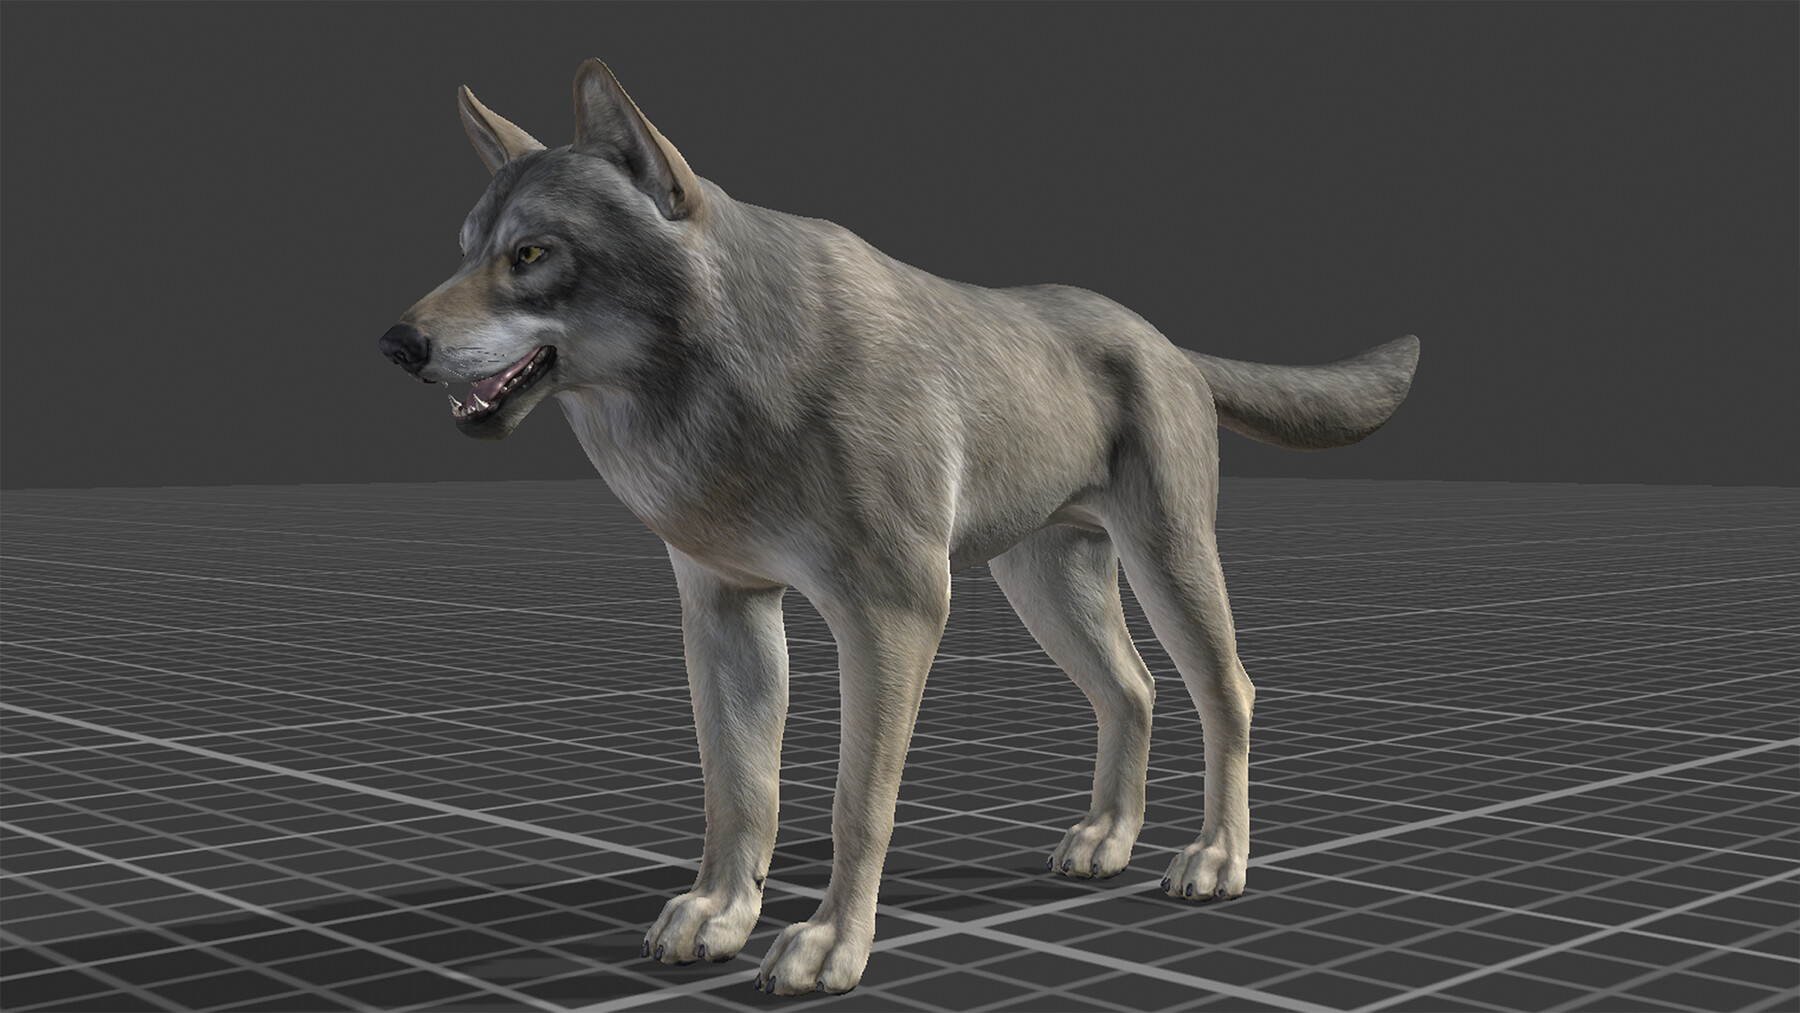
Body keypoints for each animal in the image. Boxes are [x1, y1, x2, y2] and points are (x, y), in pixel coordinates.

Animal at [378, 58, 1419, 996]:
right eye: (465, 247)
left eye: (530, 254)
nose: (396, 342)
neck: (723, 373)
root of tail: (1167, 342)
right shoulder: (727, 611)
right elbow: (739, 791)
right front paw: (720, 915)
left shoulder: (895, 614)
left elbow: (856, 804)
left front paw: (830, 946)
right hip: (1046, 586)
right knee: (1133, 690)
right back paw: (1106, 840)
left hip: (1168, 561)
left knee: (1226, 692)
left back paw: (1215, 859)